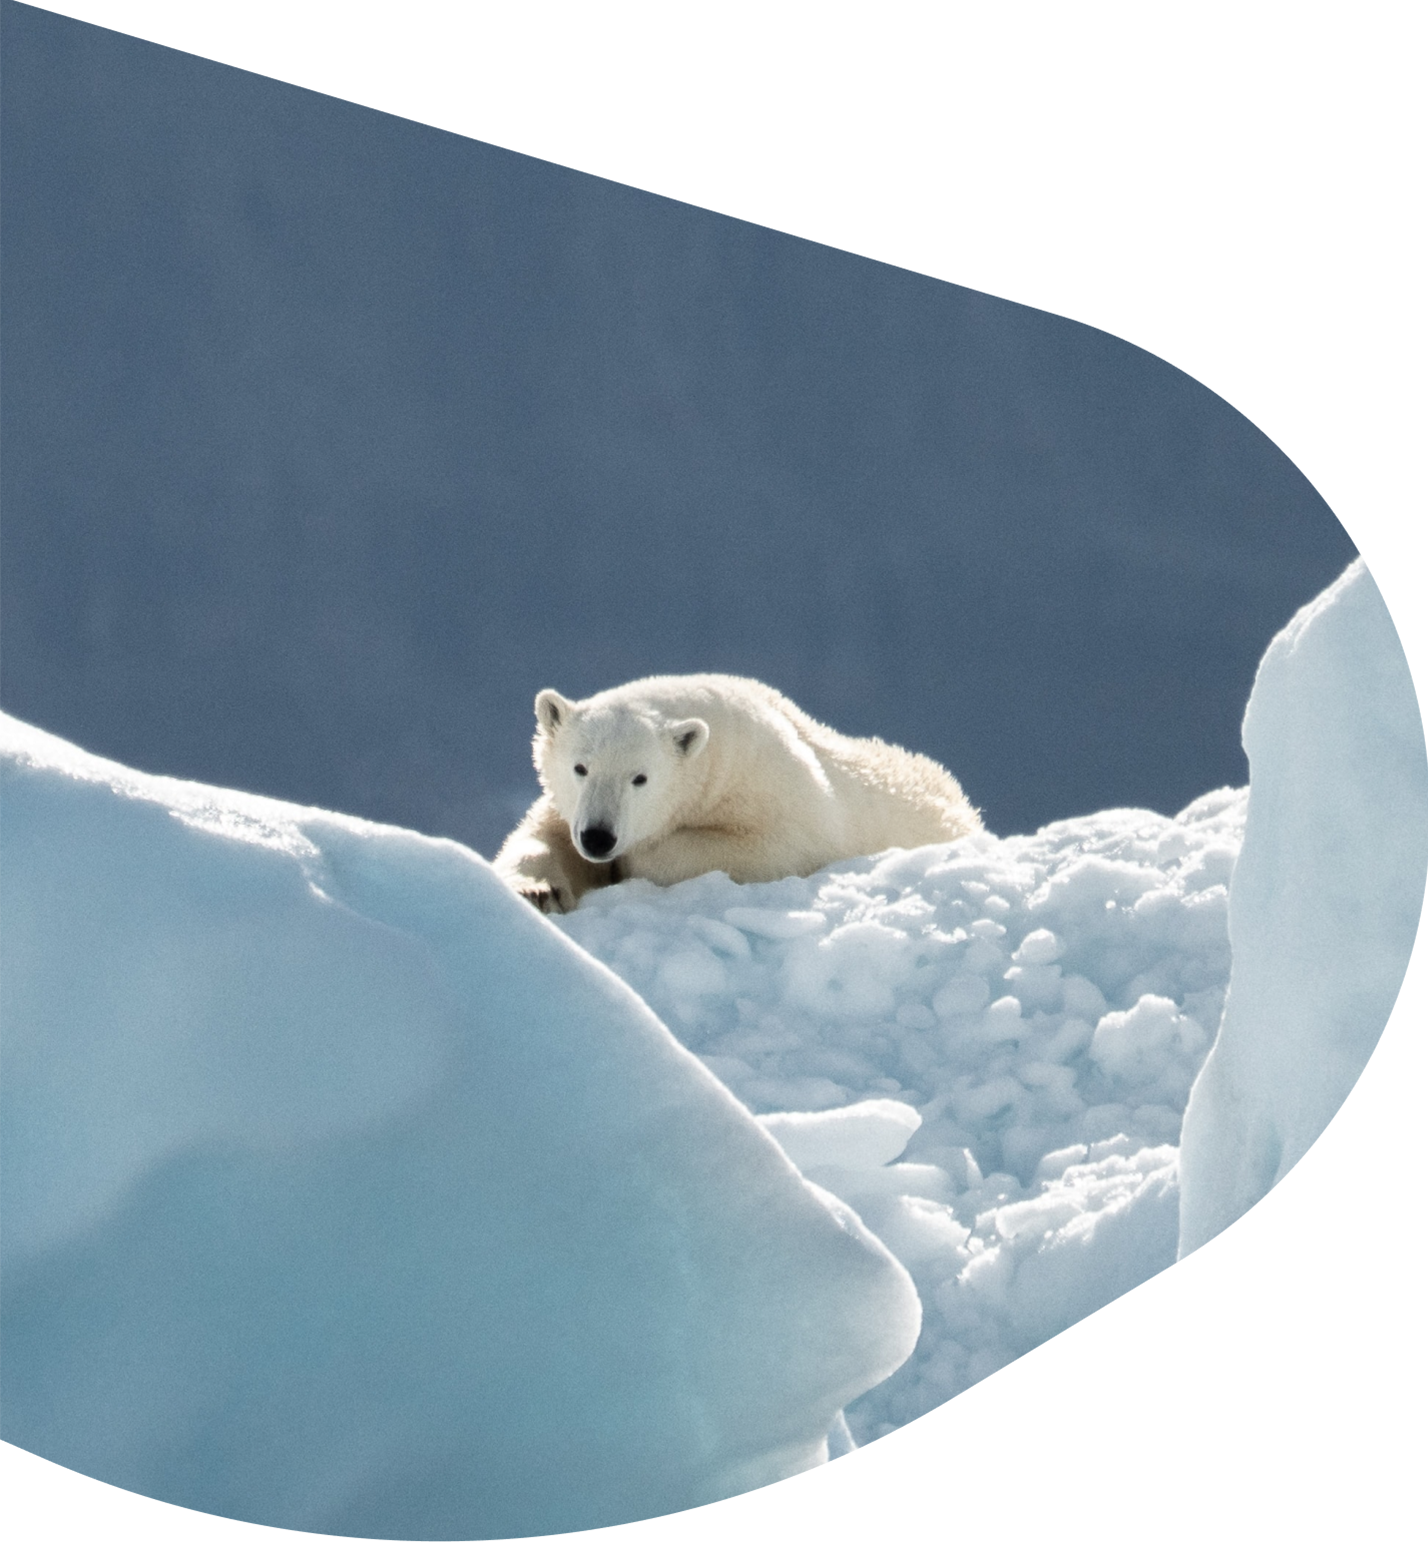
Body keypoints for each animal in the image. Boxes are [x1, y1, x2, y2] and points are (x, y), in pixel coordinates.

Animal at [493, 673, 982, 915]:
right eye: (580, 767)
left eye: (640, 778)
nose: (598, 837)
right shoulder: (567, 807)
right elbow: (540, 836)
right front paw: (538, 891)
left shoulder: (776, 793)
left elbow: (772, 847)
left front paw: (632, 861)